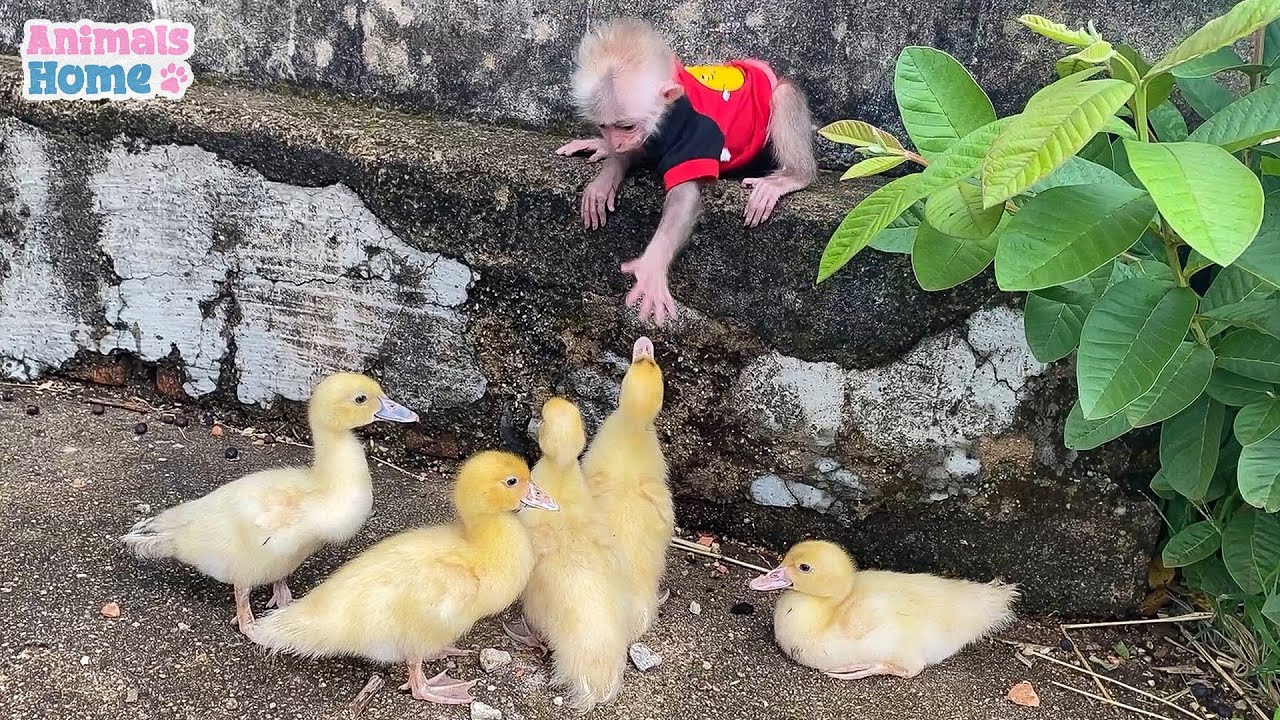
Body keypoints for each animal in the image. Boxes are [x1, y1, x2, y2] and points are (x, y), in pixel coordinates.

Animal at [555, 17, 818, 327]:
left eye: (626, 126)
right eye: (604, 126)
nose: (615, 142)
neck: (669, 112)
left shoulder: (696, 130)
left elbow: (684, 196)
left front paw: (652, 267)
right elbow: (636, 152)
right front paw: (607, 173)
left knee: (784, 94)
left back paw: (794, 176)